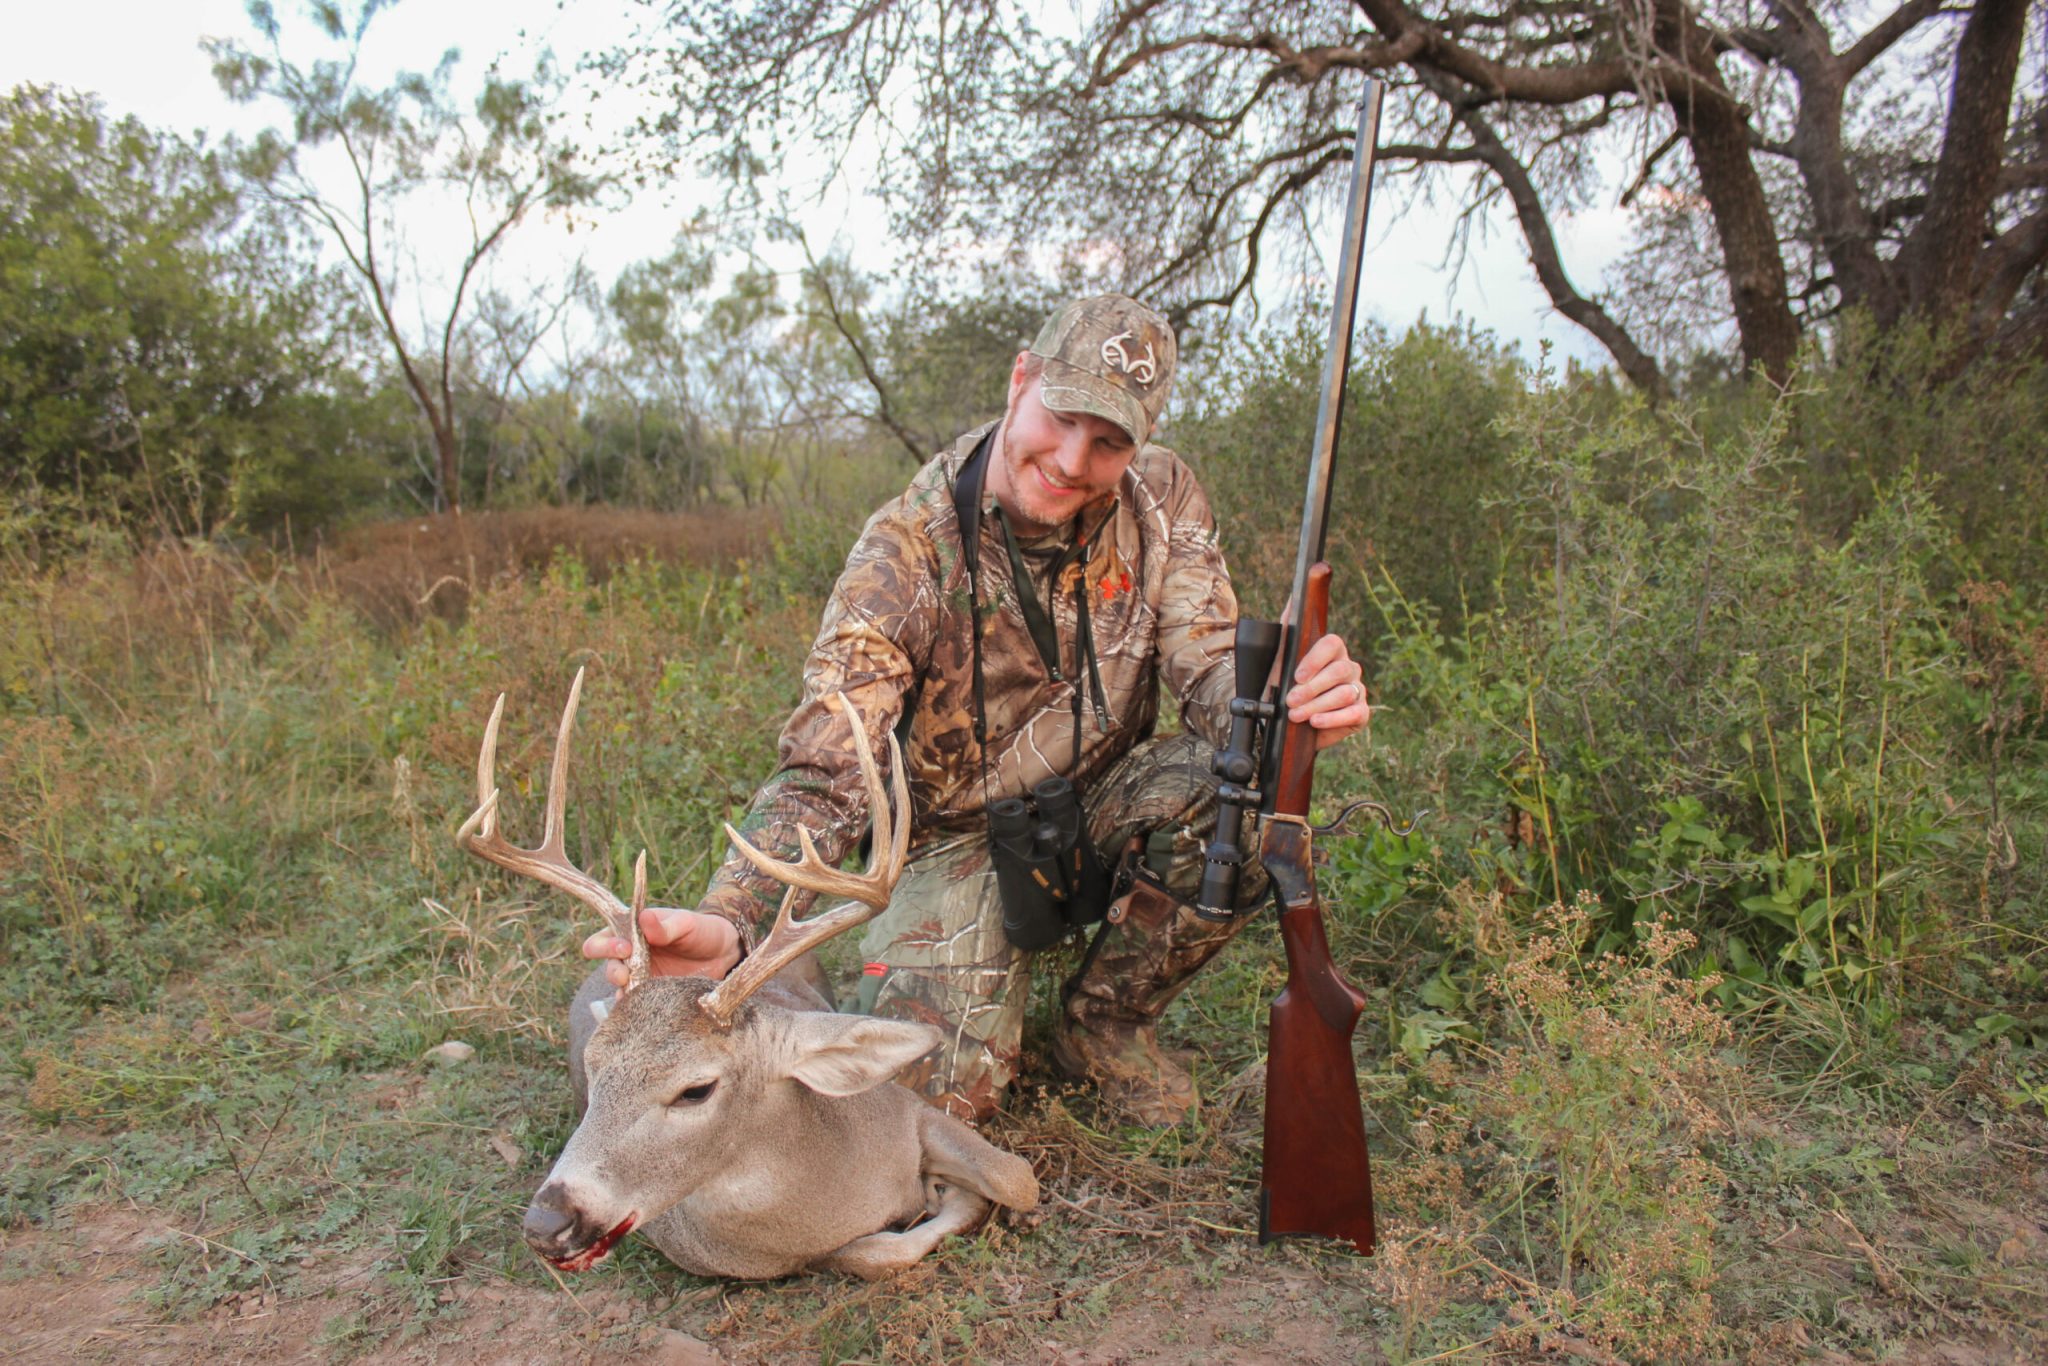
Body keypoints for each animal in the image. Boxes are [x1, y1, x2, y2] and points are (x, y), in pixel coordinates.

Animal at [455, 669, 1039, 1280]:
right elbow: (878, 1252)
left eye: (696, 1089)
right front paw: (935, 1197)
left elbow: (1016, 1178)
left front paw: (958, 1193)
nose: (548, 1222)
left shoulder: (913, 1109)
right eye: (592, 1074)